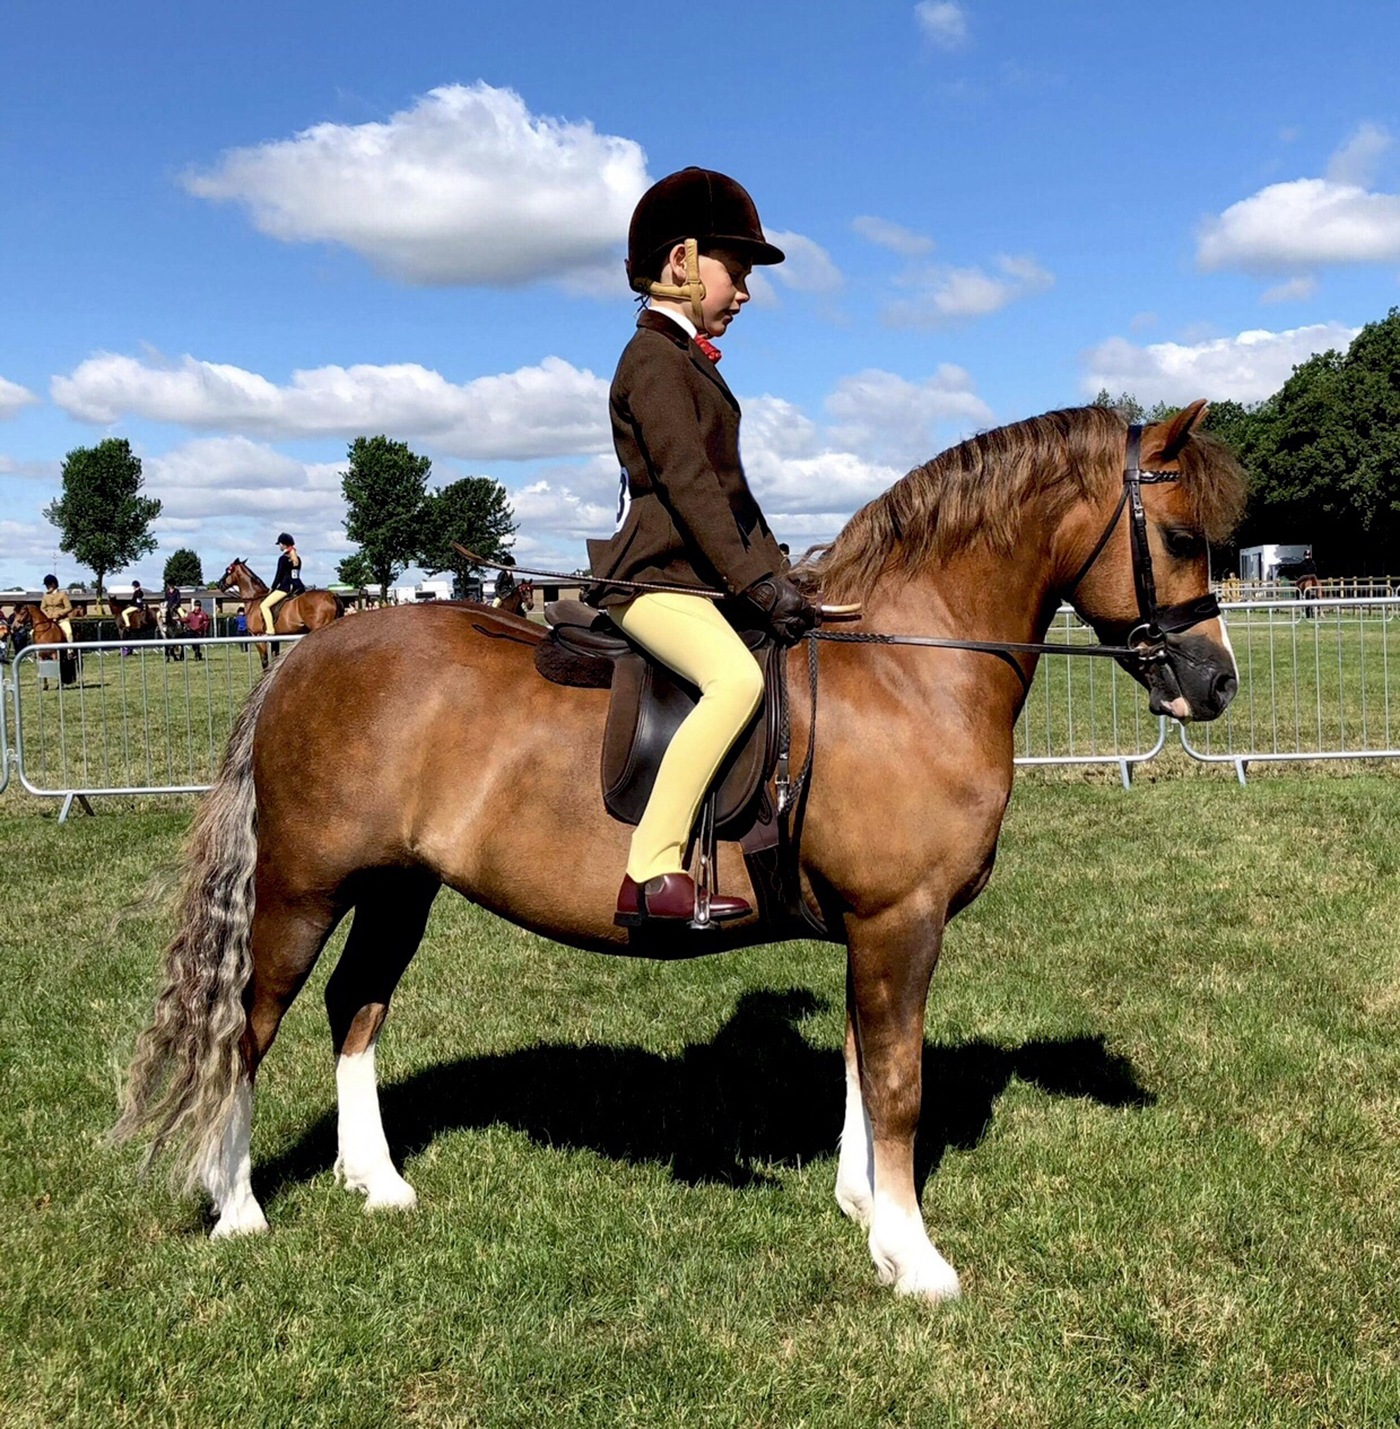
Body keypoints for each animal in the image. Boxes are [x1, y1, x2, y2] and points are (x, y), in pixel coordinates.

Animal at [117, 402, 1244, 1301]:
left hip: (399, 887)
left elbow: (858, 1061)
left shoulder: (868, 931)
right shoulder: (899, 921)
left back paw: (378, 1183)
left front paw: (861, 1209)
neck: (905, 669)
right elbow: (898, 1082)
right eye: (1182, 535)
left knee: (356, 1006)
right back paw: (237, 1207)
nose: (1215, 683)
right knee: (246, 1024)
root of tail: (303, 653)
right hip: (303, 889)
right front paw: (914, 1258)